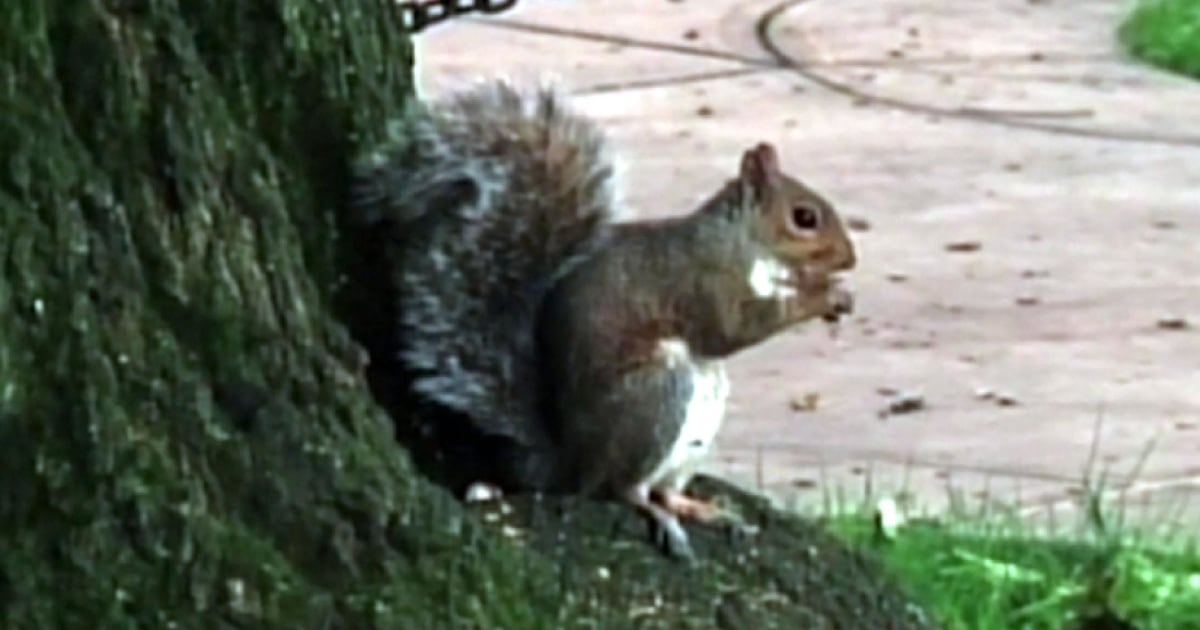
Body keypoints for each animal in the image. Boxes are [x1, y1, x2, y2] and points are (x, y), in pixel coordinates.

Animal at [352, 80, 857, 560]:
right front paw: (821, 294)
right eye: (805, 217)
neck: (743, 242)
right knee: (621, 489)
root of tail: (572, 462)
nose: (850, 259)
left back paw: (700, 509)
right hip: (654, 397)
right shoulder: (704, 281)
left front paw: (834, 293)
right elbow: (732, 328)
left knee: (662, 489)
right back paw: (656, 513)